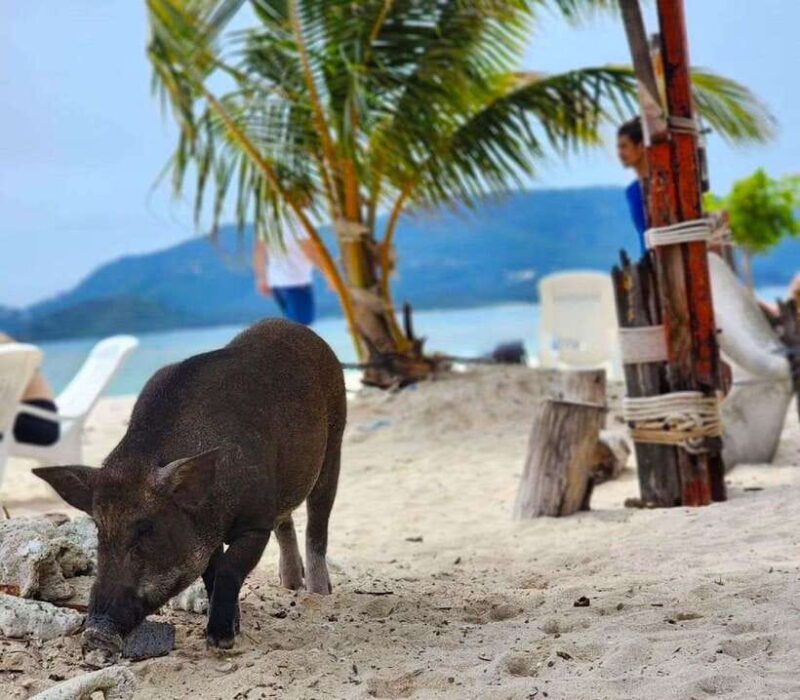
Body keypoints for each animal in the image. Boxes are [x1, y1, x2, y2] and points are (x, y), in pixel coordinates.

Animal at [34, 319, 346, 656]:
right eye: (98, 529)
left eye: (147, 528)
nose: (94, 632)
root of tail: (297, 327)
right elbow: (211, 573)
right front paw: (229, 629)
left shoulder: (256, 521)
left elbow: (228, 569)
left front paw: (220, 641)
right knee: (286, 521)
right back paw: (291, 586)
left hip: (334, 444)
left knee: (317, 525)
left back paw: (320, 593)